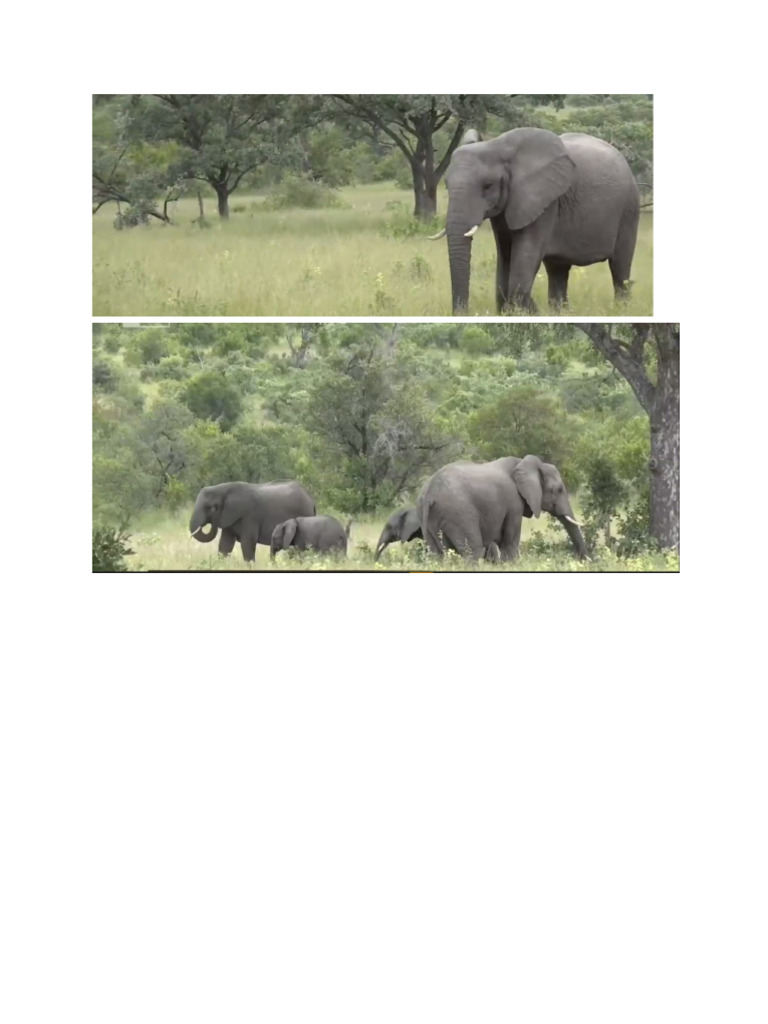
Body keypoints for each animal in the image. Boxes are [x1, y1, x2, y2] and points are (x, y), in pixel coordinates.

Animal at [418, 455, 589, 561]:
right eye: (558, 490)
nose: (585, 560)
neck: (523, 463)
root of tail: (429, 494)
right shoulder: (514, 503)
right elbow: (509, 543)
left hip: (431, 518)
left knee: (438, 554)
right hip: (459, 513)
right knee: (473, 552)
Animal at [429, 127, 640, 314]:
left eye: (488, 186)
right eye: (446, 185)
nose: (463, 312)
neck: (497, 146)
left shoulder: (545, 202)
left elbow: (525, 257)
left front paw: (527, 311)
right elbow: (505, 255)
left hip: (629, 208)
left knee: (620, 268)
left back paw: (621, 311)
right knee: (558, 270)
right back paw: (560, 313)